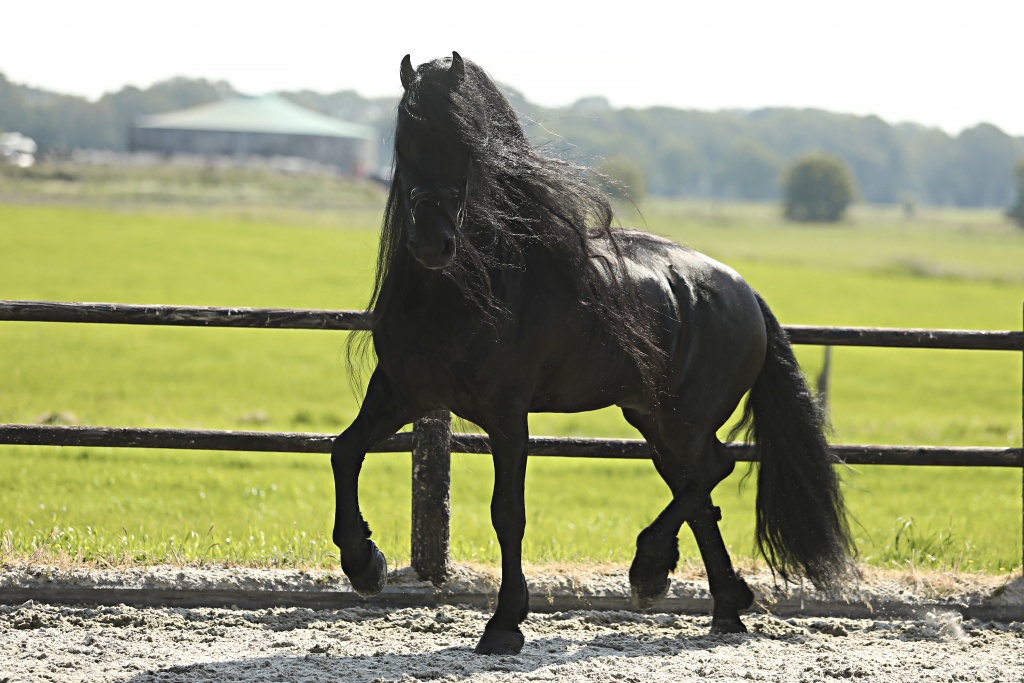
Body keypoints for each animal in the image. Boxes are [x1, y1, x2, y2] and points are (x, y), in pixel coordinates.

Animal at [330, 52, 853, 655]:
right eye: (406, 140)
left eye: (467, 145)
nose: (432, 242)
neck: (459, 293)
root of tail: (744, 292)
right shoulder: (402, 392)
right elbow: (344, 451)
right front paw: (364, 564)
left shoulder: (507, 415)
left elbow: (507, 514)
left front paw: (505, 623)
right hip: (654, 420)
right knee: (697, 491)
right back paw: (722, 605)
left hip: (685, 418)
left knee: (711, 470)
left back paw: (651, 570)